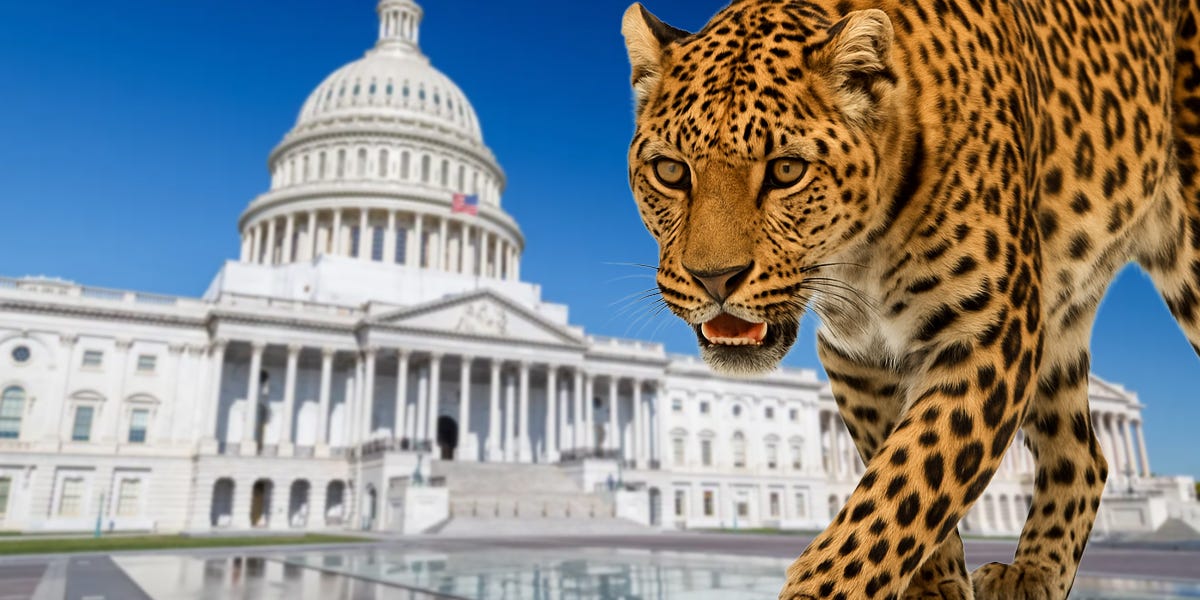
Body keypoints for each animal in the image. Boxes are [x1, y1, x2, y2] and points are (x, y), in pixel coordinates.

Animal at [621, 0, 1200, 599]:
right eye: (670, 171)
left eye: (787, 170)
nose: (714, 279)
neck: (864, 255)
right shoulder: (858, 358)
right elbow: (898, 474)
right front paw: (936, 584)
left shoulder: (989, 334)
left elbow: (907, 482)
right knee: (1084, 456)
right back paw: (1032, 572)